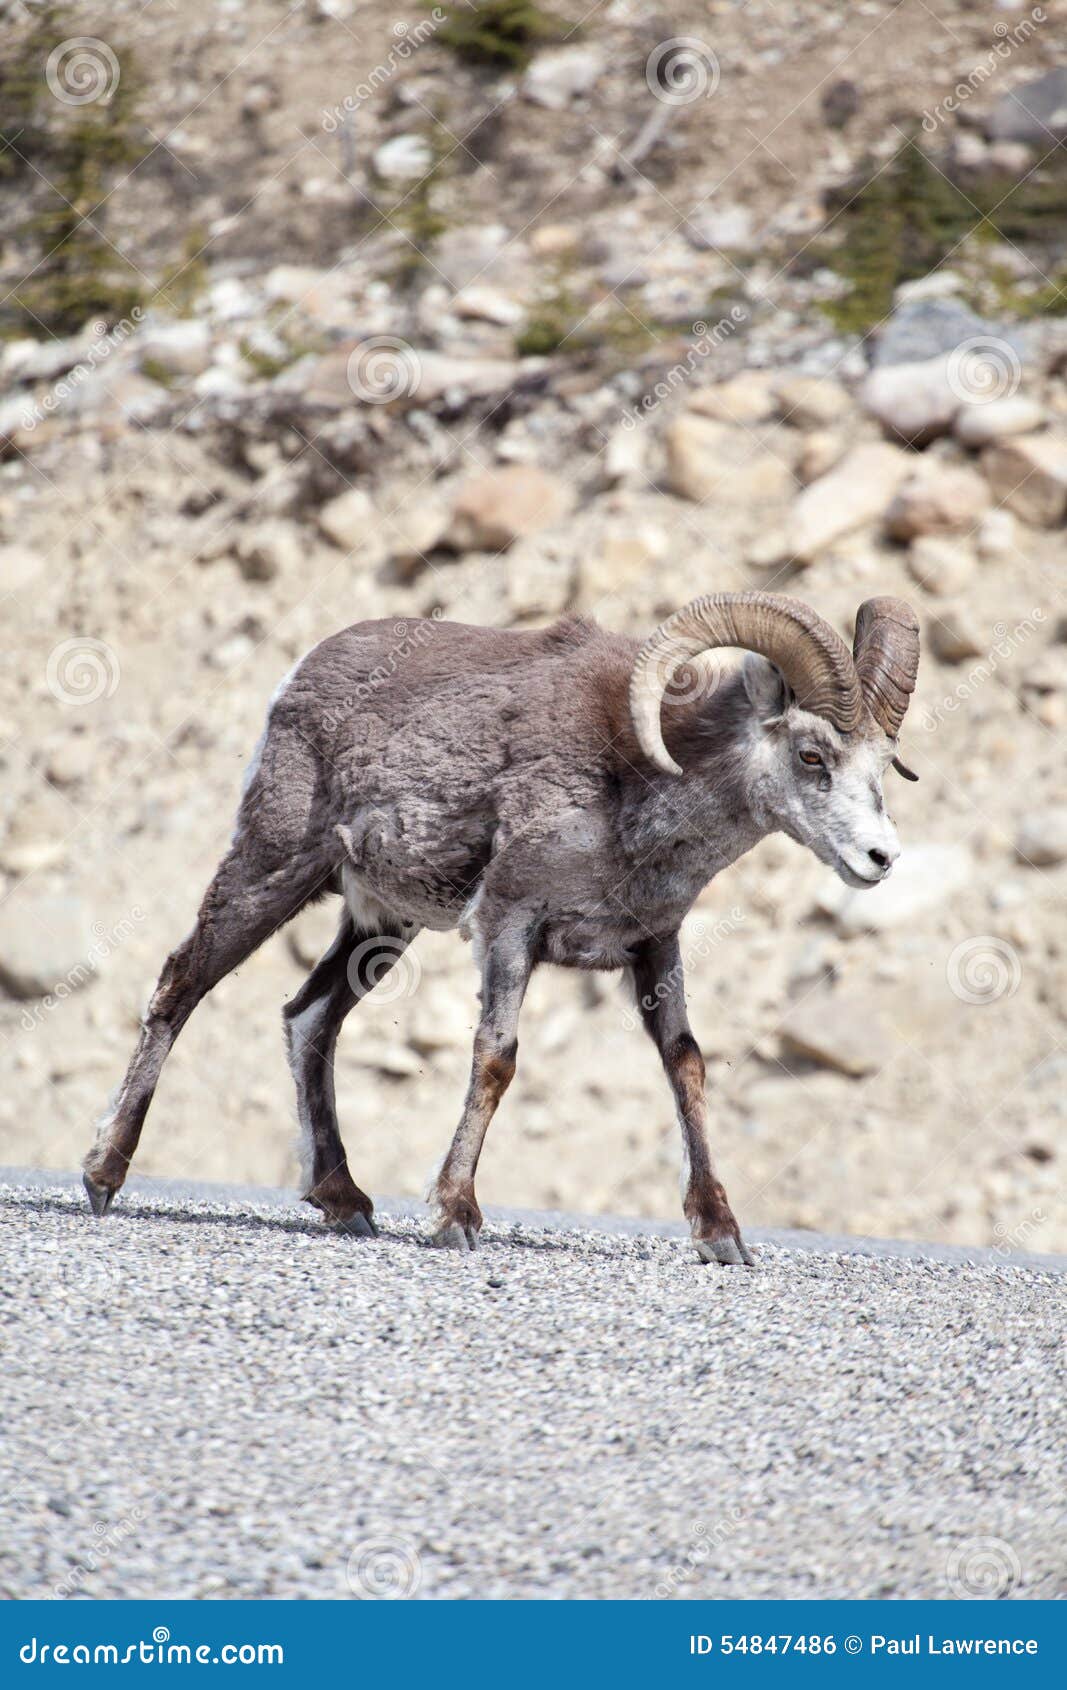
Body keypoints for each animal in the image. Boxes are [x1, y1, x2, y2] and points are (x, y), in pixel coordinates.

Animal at [83, 590, 919, 1265]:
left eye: (882, 766)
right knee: (182, 983)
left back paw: (345, 1201)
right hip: (274, 868)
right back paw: (103, 1175)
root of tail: (297, 677)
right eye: (811, 755)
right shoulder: (510, 924)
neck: (635, 790)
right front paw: (455, 1215)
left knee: (308, 1018)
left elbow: (685, 1065)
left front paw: (720, 1235)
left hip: (379, 927)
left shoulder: (655, 945)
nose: (880, 859)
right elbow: (495, 1058)